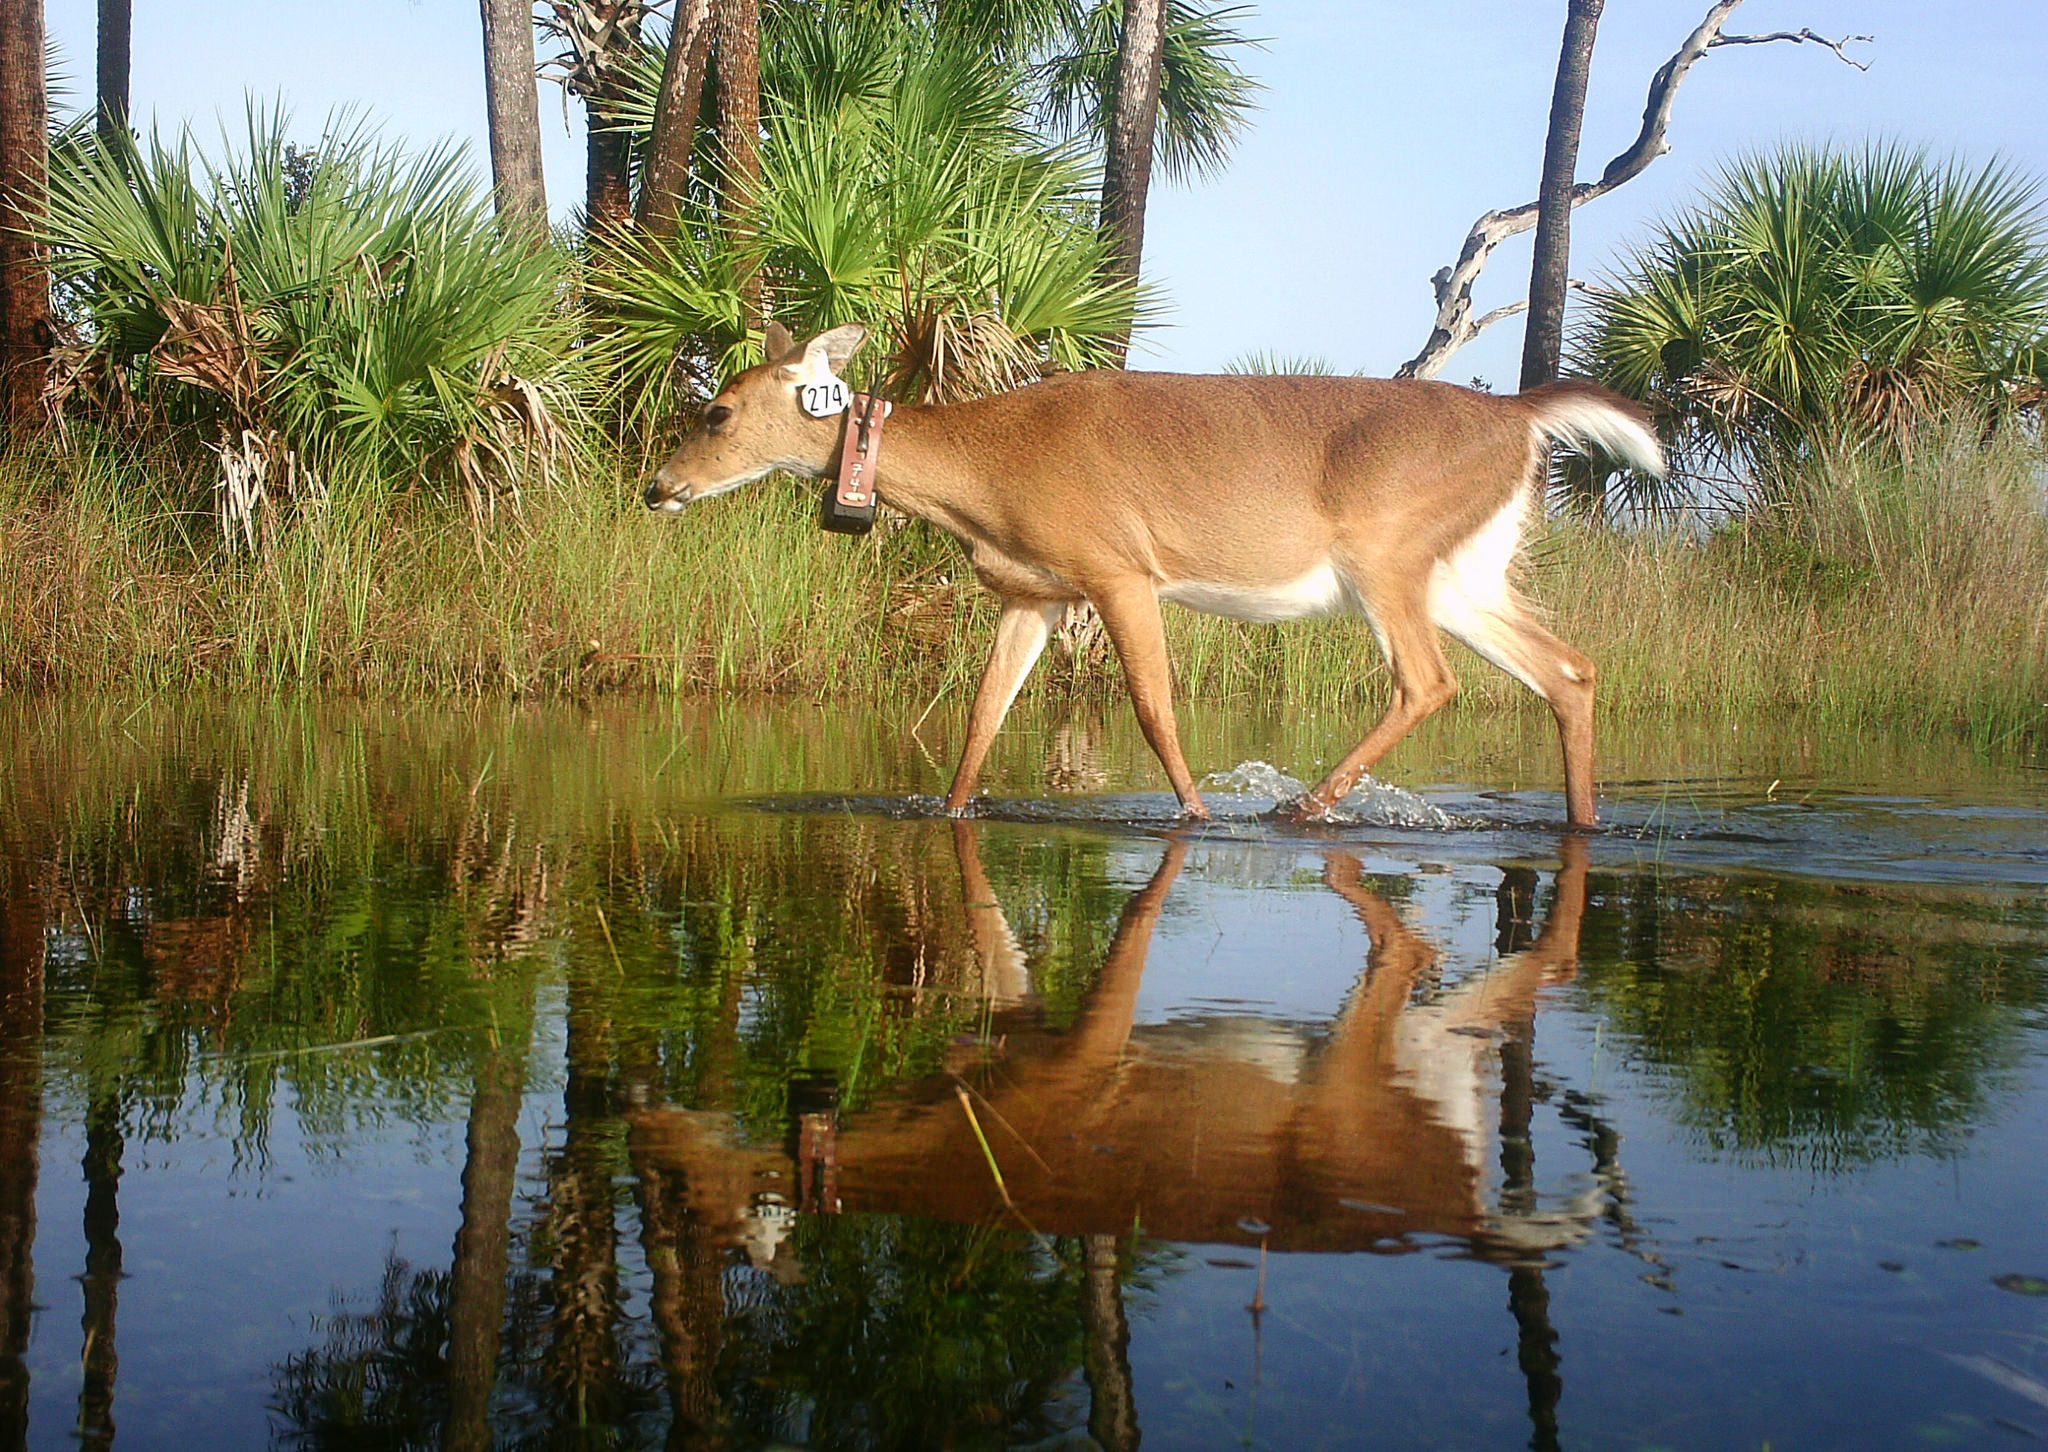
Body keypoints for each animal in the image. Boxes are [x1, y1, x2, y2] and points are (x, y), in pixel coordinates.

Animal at [644, 322, 1664, 827]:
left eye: (718, 411)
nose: (659, 487)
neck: (988, 472)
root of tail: (1524, 418)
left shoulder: (1117, 568)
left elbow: (1151, 706)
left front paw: (1197, 812)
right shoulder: (1035, 592)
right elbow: (984, 713)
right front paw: (950, 809)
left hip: (1388, 551)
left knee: (1429, 679)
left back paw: (1303, 806)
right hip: (1463, 573)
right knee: (1569, 669)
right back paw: (1581, 822)